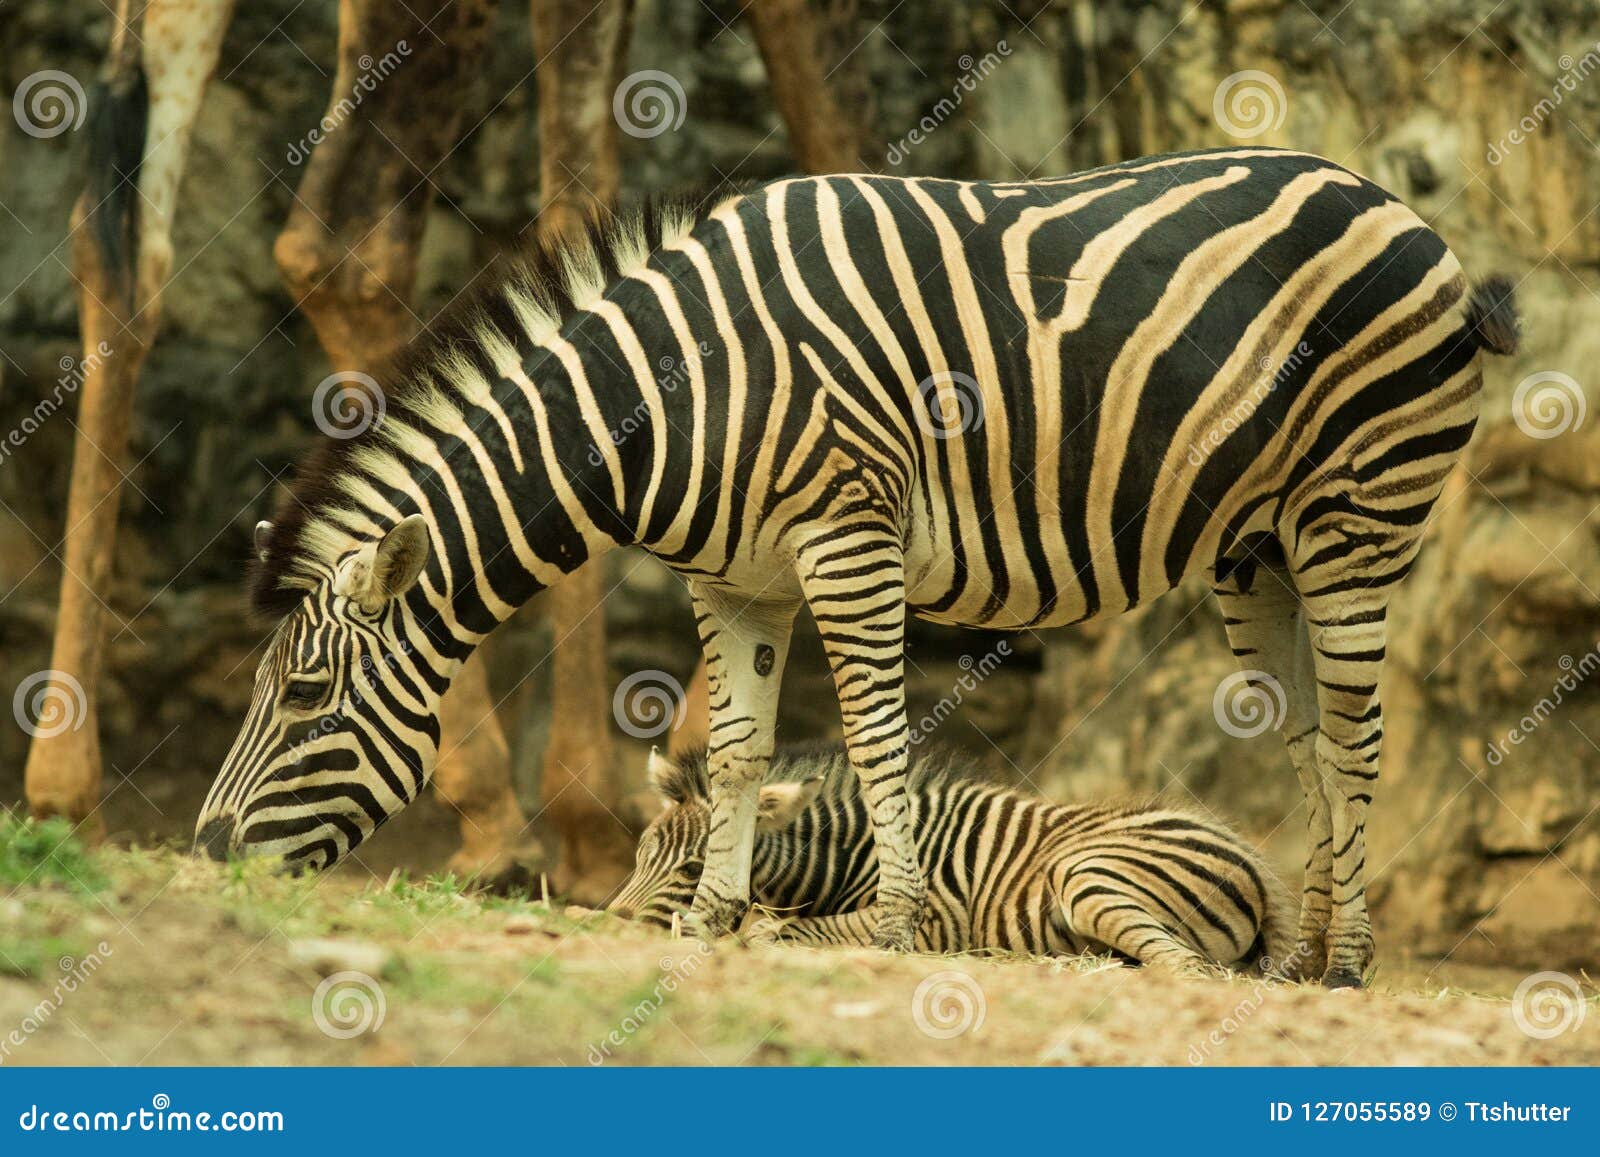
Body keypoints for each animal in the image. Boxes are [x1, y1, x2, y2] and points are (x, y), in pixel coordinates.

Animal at [610, 745, 1300, 975]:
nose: (608, 925)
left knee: (1187, 966)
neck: (854, 852)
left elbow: (780, 931)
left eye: (693, 870)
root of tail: (1254, 859)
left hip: (1086, 876)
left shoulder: (934, 916)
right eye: (640, 855)